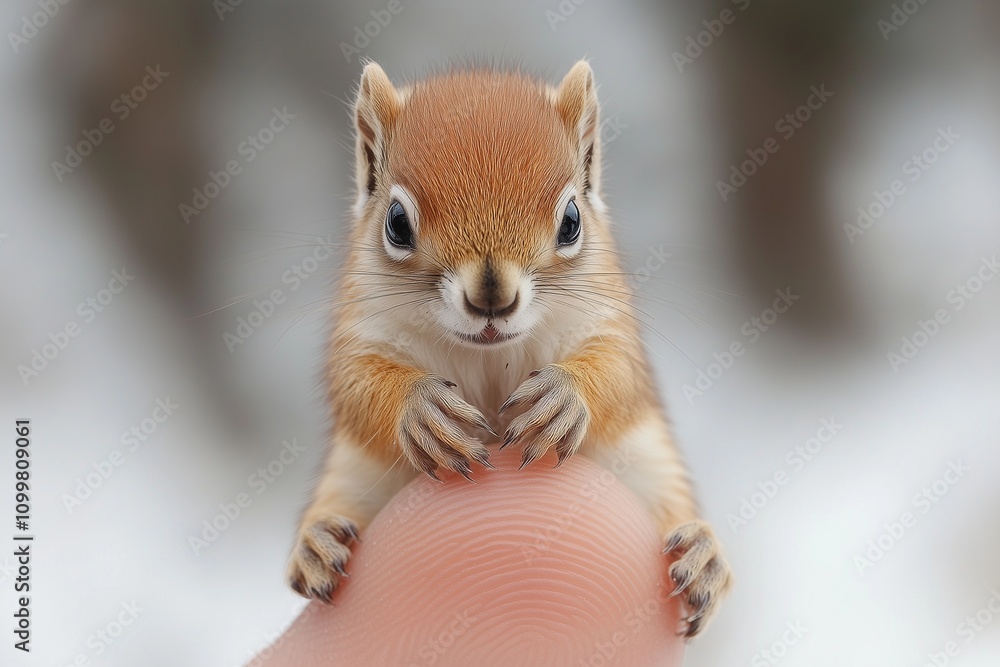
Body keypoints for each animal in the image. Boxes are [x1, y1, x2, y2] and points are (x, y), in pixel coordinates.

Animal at [286, 60, 733, 639]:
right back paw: (316, 544)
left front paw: (562, 398)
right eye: (397, 223)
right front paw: (422, 410)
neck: (487, 358)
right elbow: (359, 388)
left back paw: (704, 555)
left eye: (571, 221)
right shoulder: (358, 333)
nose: (491, 297)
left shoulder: (613, 327)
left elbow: (615, 375)